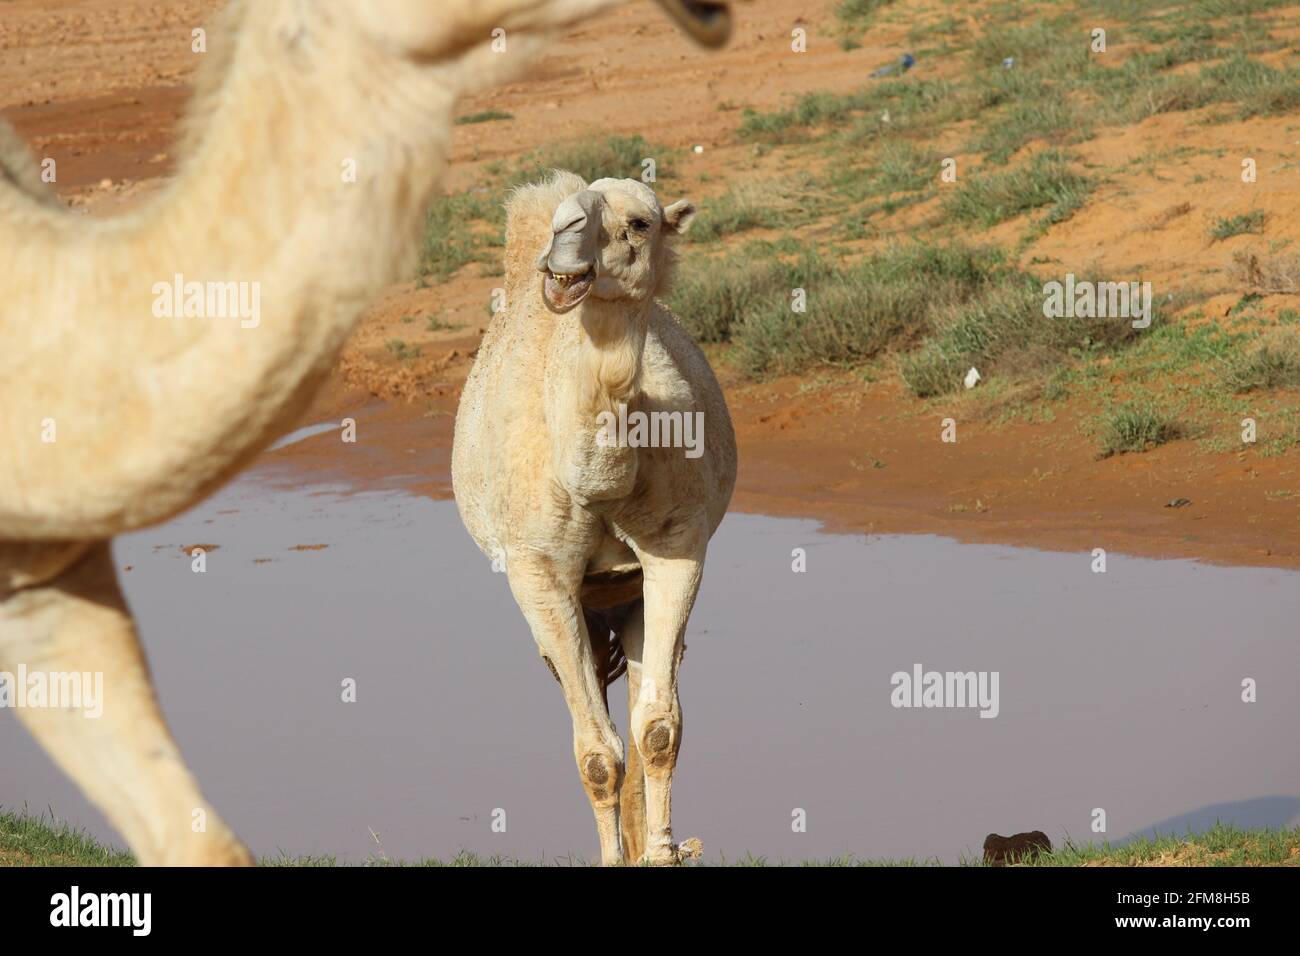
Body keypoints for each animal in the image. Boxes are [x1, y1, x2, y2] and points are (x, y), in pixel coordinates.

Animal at [452, 174, 738, 868]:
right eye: (569, 214)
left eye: (641, 222)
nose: (564, 235)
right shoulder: (539, 573)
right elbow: (595, 754)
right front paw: (617, 858)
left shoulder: (677, 547)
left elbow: (658, 728)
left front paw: (661, 853)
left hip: (625, 595)